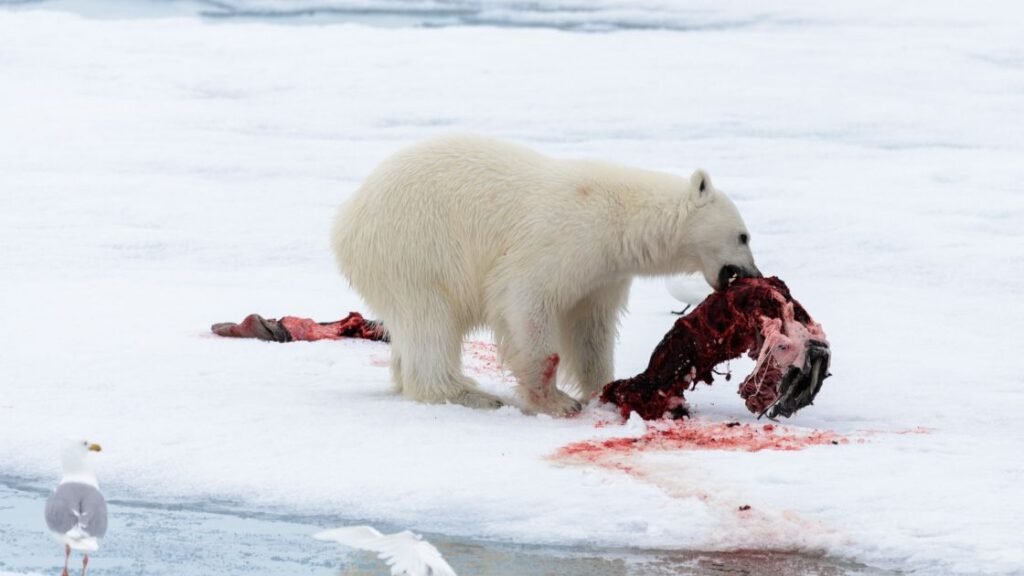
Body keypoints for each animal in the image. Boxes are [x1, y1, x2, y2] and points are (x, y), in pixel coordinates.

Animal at [332, 135, 760, 416]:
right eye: (744, 235)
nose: (752, 272)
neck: (620, 217)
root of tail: (347, 221)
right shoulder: (559, 239)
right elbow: (526, 301)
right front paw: (556, 402)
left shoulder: (603, 273)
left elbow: (589, 328)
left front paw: (602, 389)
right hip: (416, 247)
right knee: (431, 321)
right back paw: (469, 394)